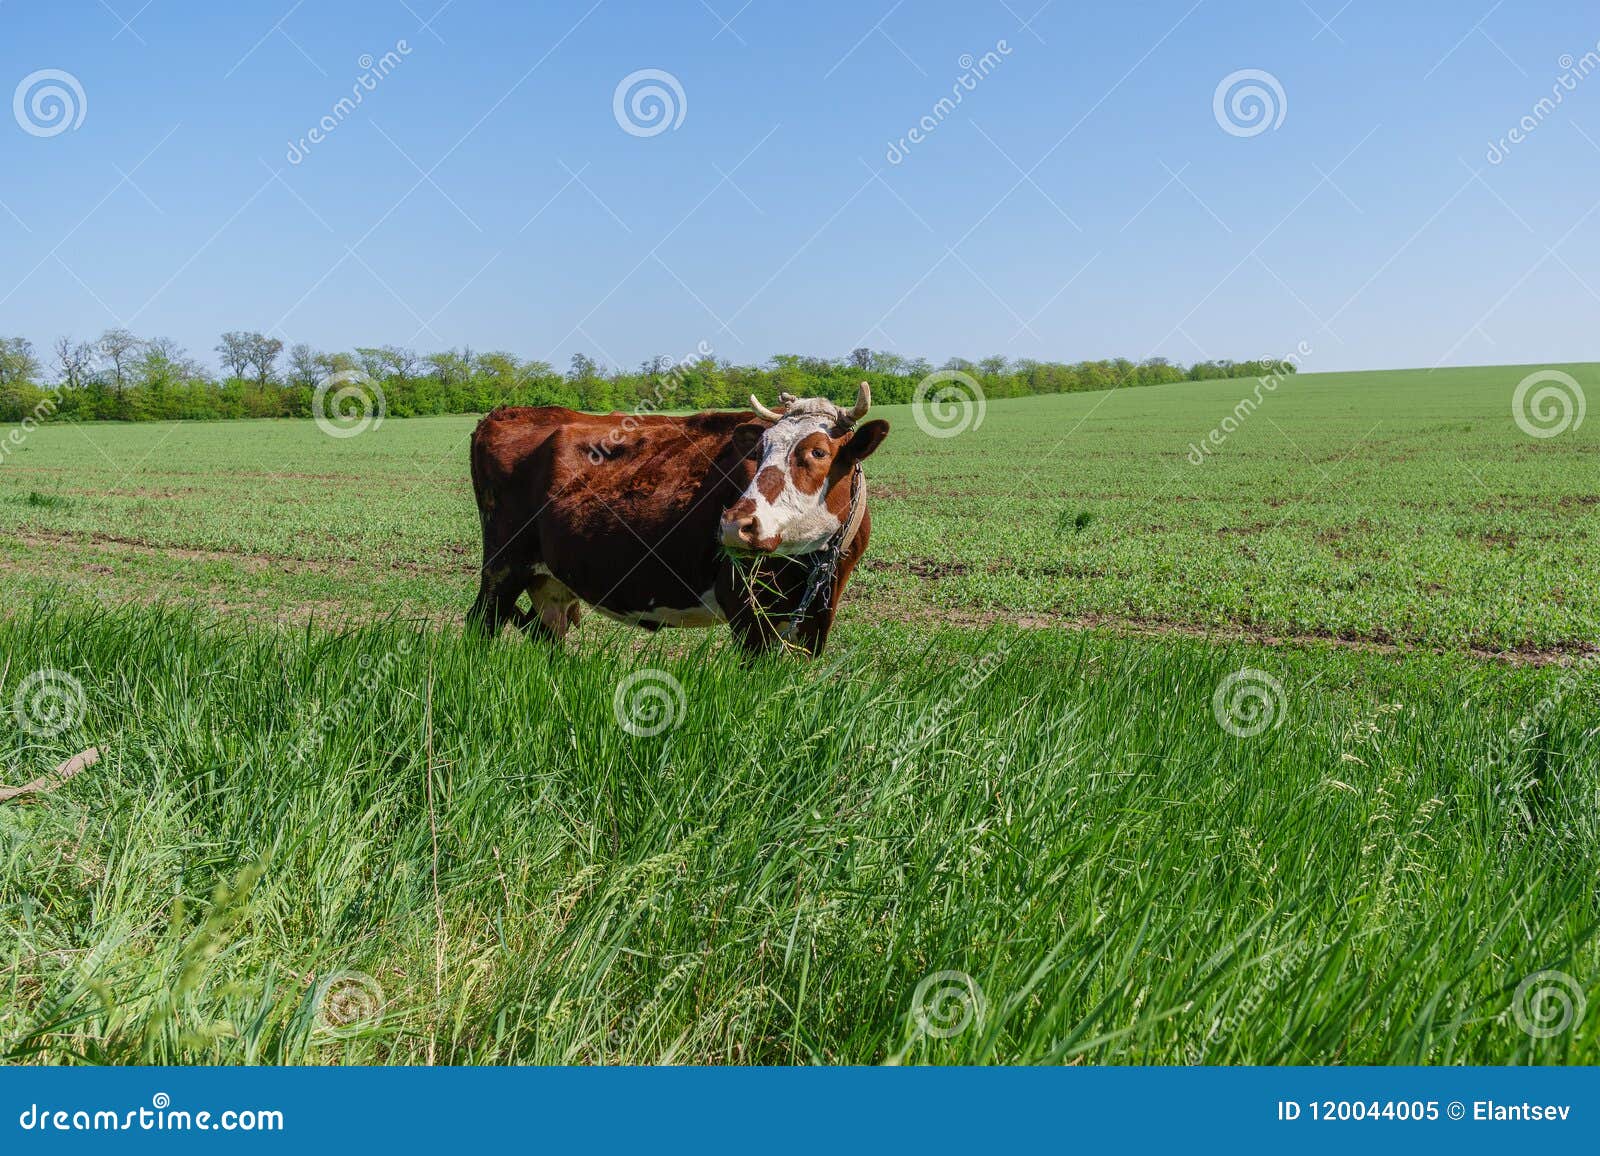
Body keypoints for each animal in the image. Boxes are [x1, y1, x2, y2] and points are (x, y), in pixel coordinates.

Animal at [467, 382, 889, 656]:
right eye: (759, 449)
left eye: (818, 452)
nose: (736, 525)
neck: (813, 563)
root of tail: (508, 412)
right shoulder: (744, 609)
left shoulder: (817, 616)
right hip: (503, 567)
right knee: (480, 624)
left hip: (550, 580)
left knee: (548, 635)